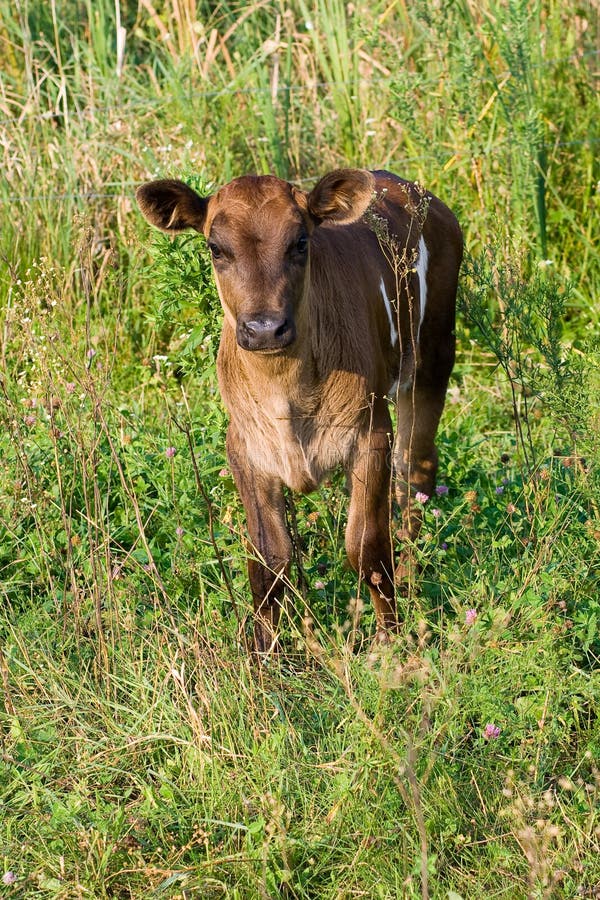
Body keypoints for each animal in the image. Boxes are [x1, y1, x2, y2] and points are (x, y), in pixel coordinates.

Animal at [136, 169, 463, 652]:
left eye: (301, 242)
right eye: (215, 247)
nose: (264, 328)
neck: (286, 393)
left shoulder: (370, 432)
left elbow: (367, 547)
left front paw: (389, 642)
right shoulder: (245, 447)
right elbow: (269, 559)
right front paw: (262, 655)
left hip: (434, 351)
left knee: (415, 470)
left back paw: (410, 581)